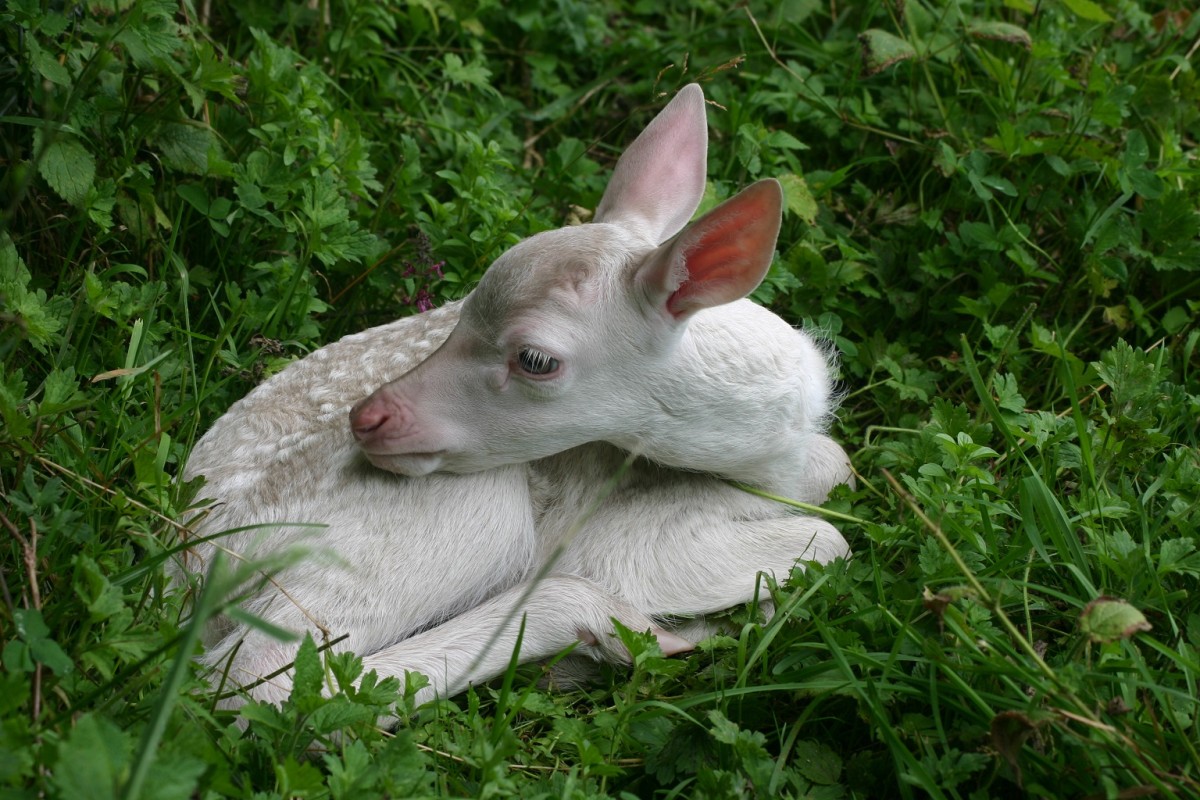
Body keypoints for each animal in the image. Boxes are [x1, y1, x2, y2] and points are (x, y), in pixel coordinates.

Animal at [179, 84, 852, 712]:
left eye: (535, 360)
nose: (368, 417)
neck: (771, 449)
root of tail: (184, 567)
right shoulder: (626, 542)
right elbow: (829, 539)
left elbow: (838, 468)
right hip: (458, 515)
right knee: (257, 679)